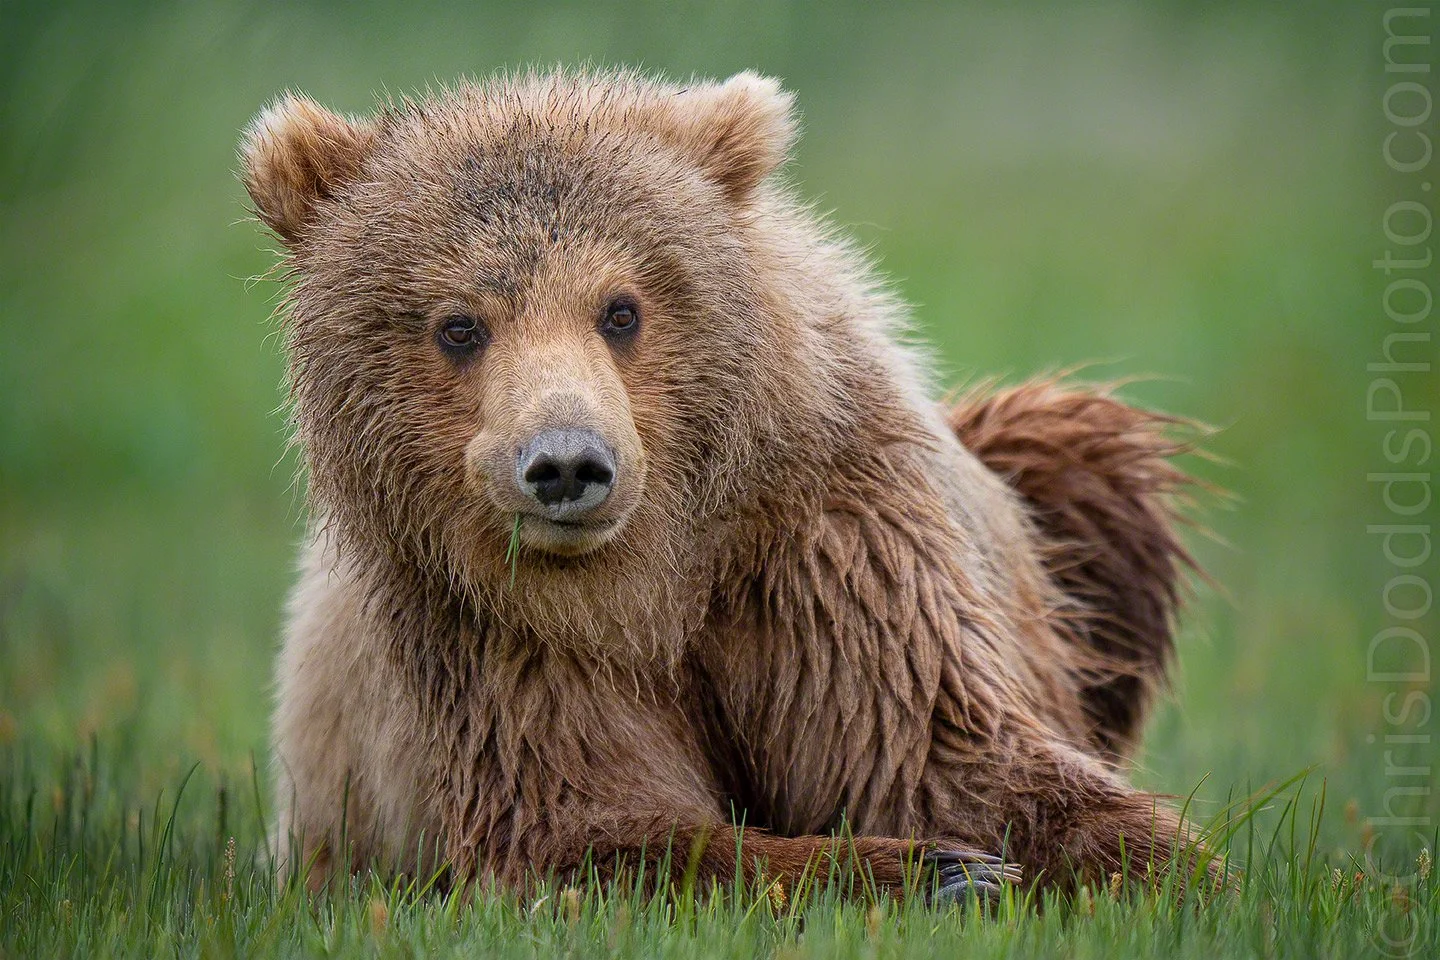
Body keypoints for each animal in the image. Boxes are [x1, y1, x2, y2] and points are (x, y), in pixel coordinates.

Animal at [241, 69, 1211, 902]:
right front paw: (935, 870)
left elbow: (936, 746)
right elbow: (589, 826)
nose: (566, 464)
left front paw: (1160, 864)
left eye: (621, 308)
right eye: (460, 325)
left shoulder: (825, 541)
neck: (655, 580)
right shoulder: (496, 635)